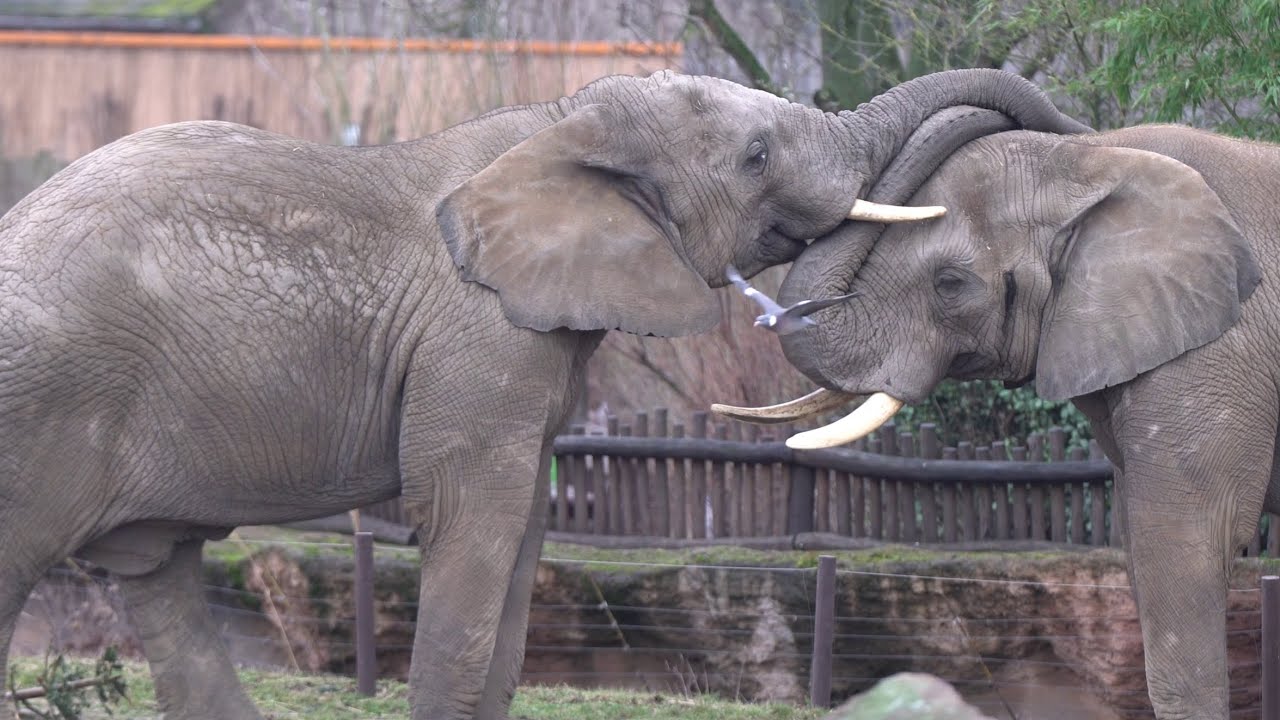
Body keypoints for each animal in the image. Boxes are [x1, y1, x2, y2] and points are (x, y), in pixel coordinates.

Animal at [0, 69, 1086, 719]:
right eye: (754, 156)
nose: (1079, 127)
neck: (556, 122)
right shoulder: (476, 342)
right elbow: (466, 526)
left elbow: (521, 539)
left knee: (164, 582)